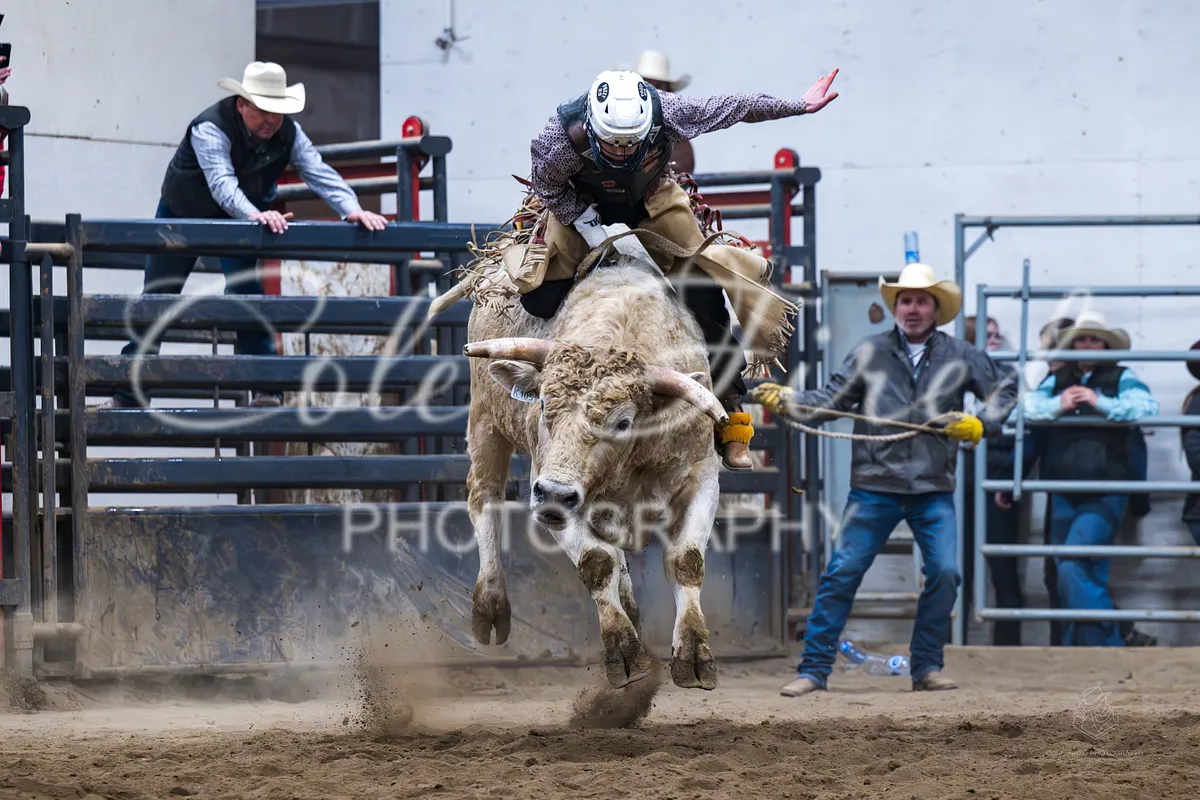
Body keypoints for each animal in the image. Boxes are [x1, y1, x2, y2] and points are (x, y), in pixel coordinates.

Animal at [460, 248, 730, 691]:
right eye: (543, 406)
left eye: (623, 422)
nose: (554, 492)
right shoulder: (551, 493)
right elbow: (596, 562)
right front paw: (625, 652)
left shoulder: (700, 475)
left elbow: (686, 561)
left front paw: (693, 653)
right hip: (485, 421)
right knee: (484, 498)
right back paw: (490, 604)